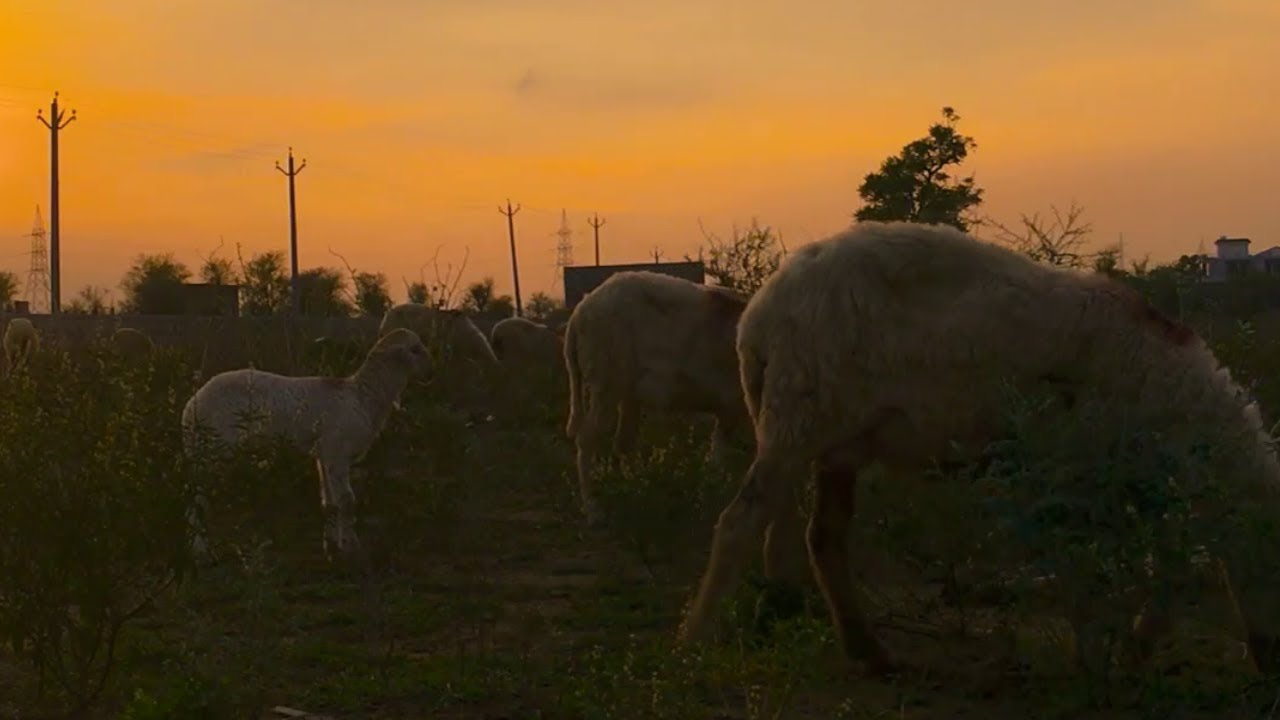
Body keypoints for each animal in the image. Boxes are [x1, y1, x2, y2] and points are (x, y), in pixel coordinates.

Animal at [181, 327, 430, 560]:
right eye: (415, 349)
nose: (432, 366)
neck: (364, 395)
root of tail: (191, 407)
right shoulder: (337, 451)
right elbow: (347, 501)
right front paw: (351, 547)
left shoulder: (324, 454)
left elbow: (330, 504)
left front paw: (331, 548)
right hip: (214, 448)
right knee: (199, 497)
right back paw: (199, 550)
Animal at [677, 220, 1280, 677]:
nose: (1269, 663)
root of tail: (760, 313)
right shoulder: (1081, 463)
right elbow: (1089, 562)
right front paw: (1100, 650)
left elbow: (1167, 563)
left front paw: (1138, 641)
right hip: (798, 416)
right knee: (741, 521)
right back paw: (696, 639)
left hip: (834, 439)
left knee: (820, 536)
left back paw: (861, 646)